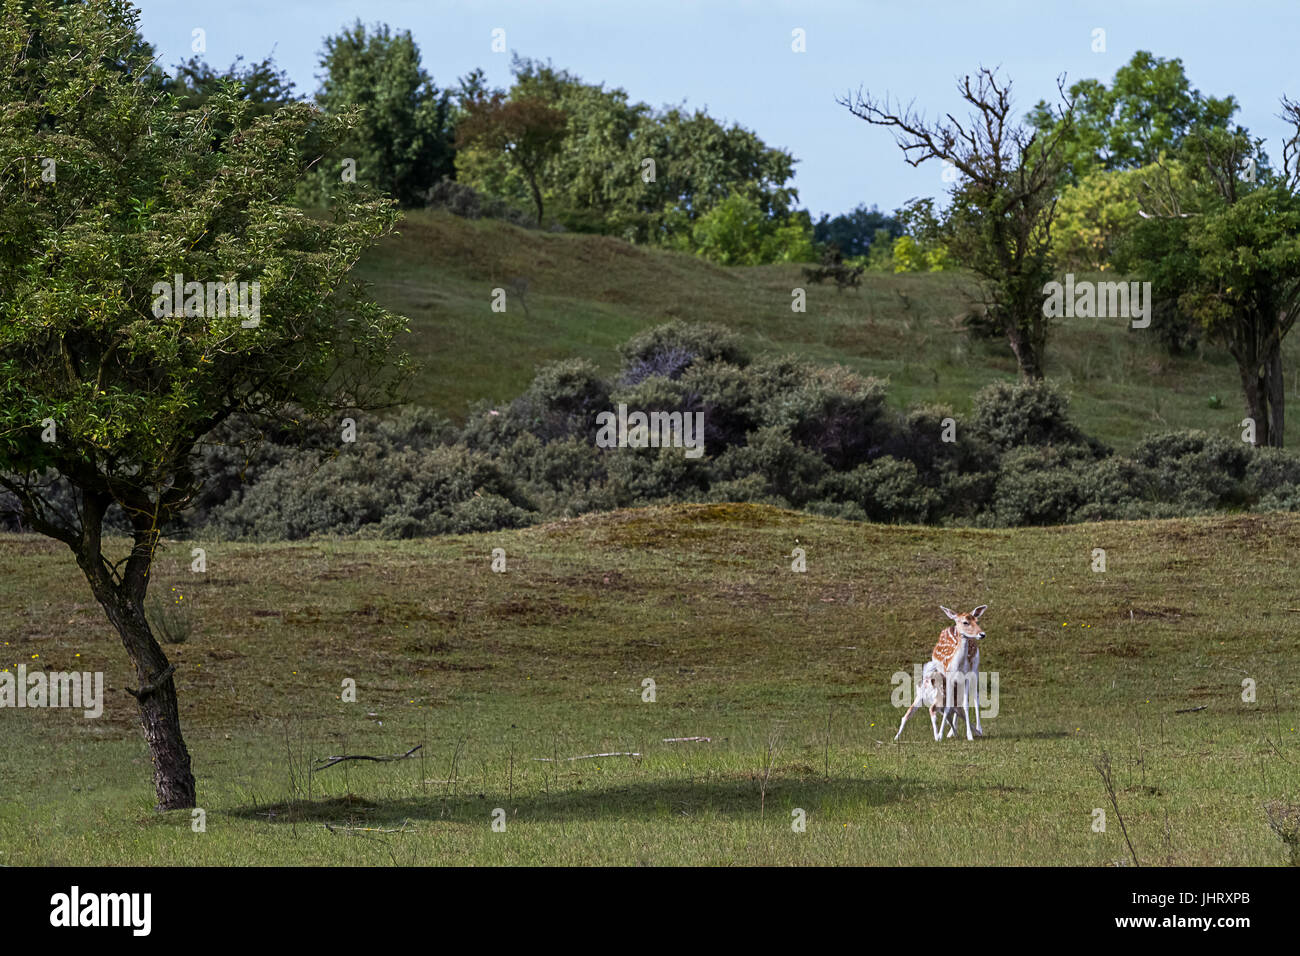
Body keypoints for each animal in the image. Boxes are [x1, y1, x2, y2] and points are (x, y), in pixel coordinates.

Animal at [894, 605, 987, 741]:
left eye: (977, 620)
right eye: (965, 622)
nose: (982, 634)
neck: (957, 665)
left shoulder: (966, 676)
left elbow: (965, 703)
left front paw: (969, 735)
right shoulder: (948, 678)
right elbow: (949, 705)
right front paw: (942, 734)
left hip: (975, 669)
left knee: (976, 697)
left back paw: (978, 730)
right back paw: (951, 732)